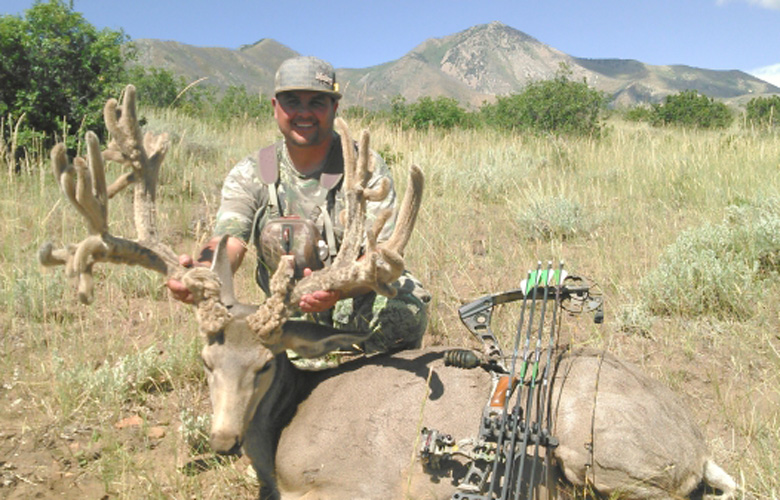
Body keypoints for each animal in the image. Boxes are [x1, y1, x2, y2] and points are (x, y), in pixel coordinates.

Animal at [40, 85, 737, 500]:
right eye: (207, 360)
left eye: (265, 363)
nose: (222, 439)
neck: (281, 441)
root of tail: (697, 448)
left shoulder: (355, 484)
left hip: (602, 451)